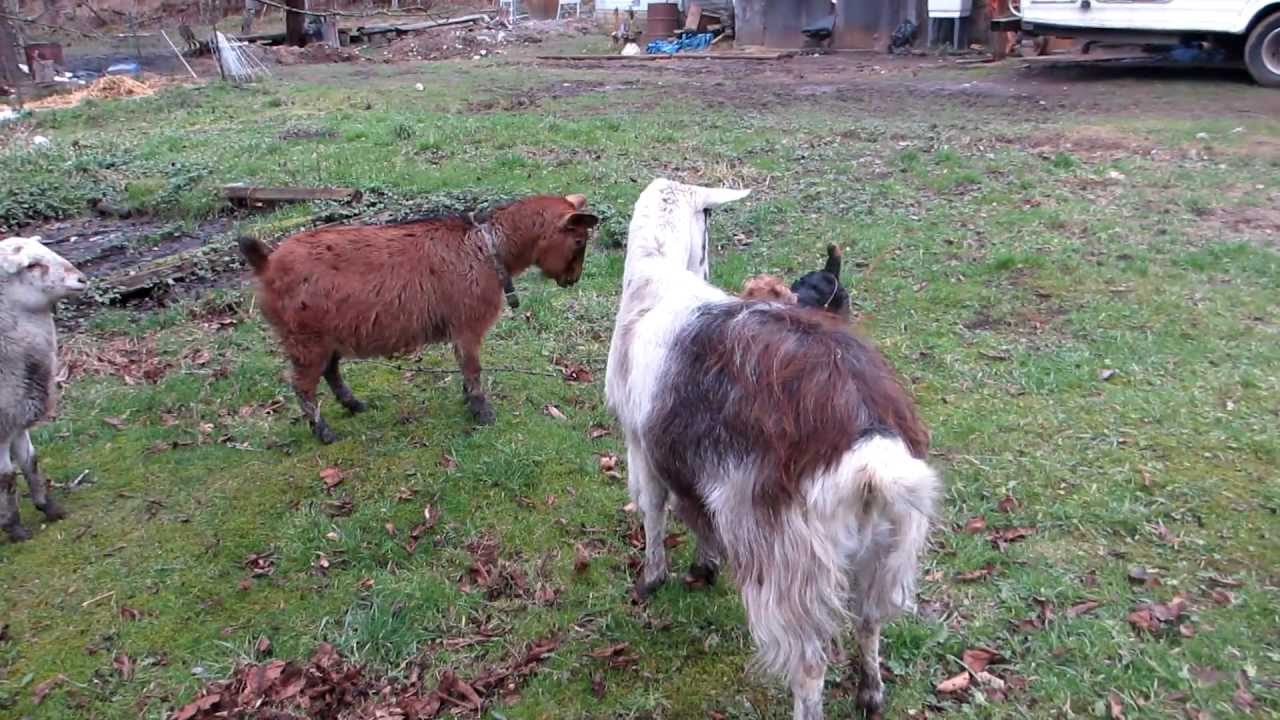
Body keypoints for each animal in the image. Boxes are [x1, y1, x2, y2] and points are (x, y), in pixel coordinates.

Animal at [0, 237, 87, 542]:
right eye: (32, 265)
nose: (81, 279)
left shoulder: (17, 418)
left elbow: (31, 461)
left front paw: (49, 508)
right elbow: (7, 477)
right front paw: (14, 528)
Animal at [239, 194, 598, 444]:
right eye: (579, 241)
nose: (573, 280)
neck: (488, 248)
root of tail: (267, 262)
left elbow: (465, 368)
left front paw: (468, 403)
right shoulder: (467, 325)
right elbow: (473, 369)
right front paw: (482, 413)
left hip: (328, 335)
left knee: (330, 370)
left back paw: (354, 405)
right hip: (306, 337)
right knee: (302, 386)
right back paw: (324, 432)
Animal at [605, 179, 938, 719]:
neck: (656, 280)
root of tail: (872, 450)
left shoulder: (643, 446)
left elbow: (654, 512)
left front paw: (651, 580)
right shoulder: (693, 463)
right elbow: (697, 515)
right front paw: (704, 566)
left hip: (789, 561)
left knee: (810, 667)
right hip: (888, 544)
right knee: (870, 621)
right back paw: (870, 692)